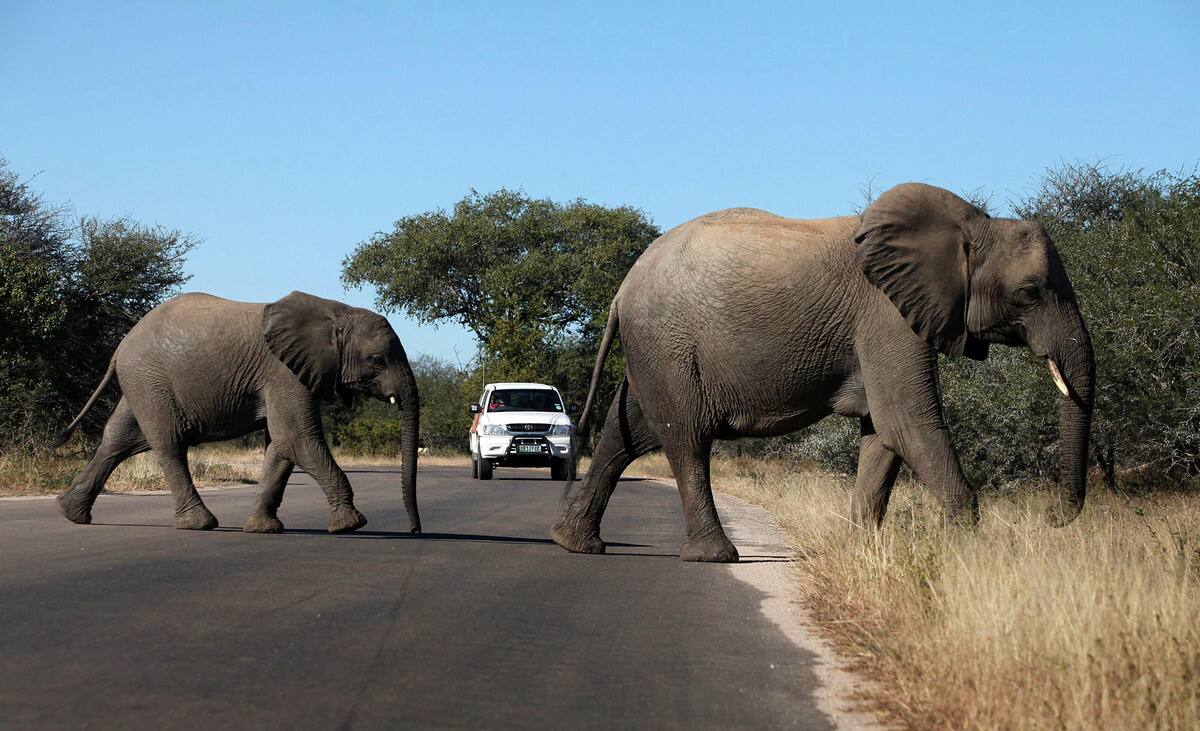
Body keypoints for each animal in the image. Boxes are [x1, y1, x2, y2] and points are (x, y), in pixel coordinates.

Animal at [54, 291, 422, 535]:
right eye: (377, 360)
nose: (415, 530)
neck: (336, 311)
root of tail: (120, 346)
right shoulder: (284, 373)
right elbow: (297, 439)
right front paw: (350, 524)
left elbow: (281, 447)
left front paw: (262, 529)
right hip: (151, 381)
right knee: (169, 445)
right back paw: (199, 524)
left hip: (141, 384)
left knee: (118, 439)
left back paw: (71, 513)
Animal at [552, 183, 1095, 562]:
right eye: (1030, 293)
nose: (1051, 518)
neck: (973, 225)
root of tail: (621, 290)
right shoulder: (886, 315)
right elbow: (907, 421)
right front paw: (966, 555)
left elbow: (883, 435)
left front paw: (860, 551)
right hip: (669, 346)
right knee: (685, 439)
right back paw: (715, 556)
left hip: (655, 350)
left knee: (628, 433)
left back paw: (574, 542)